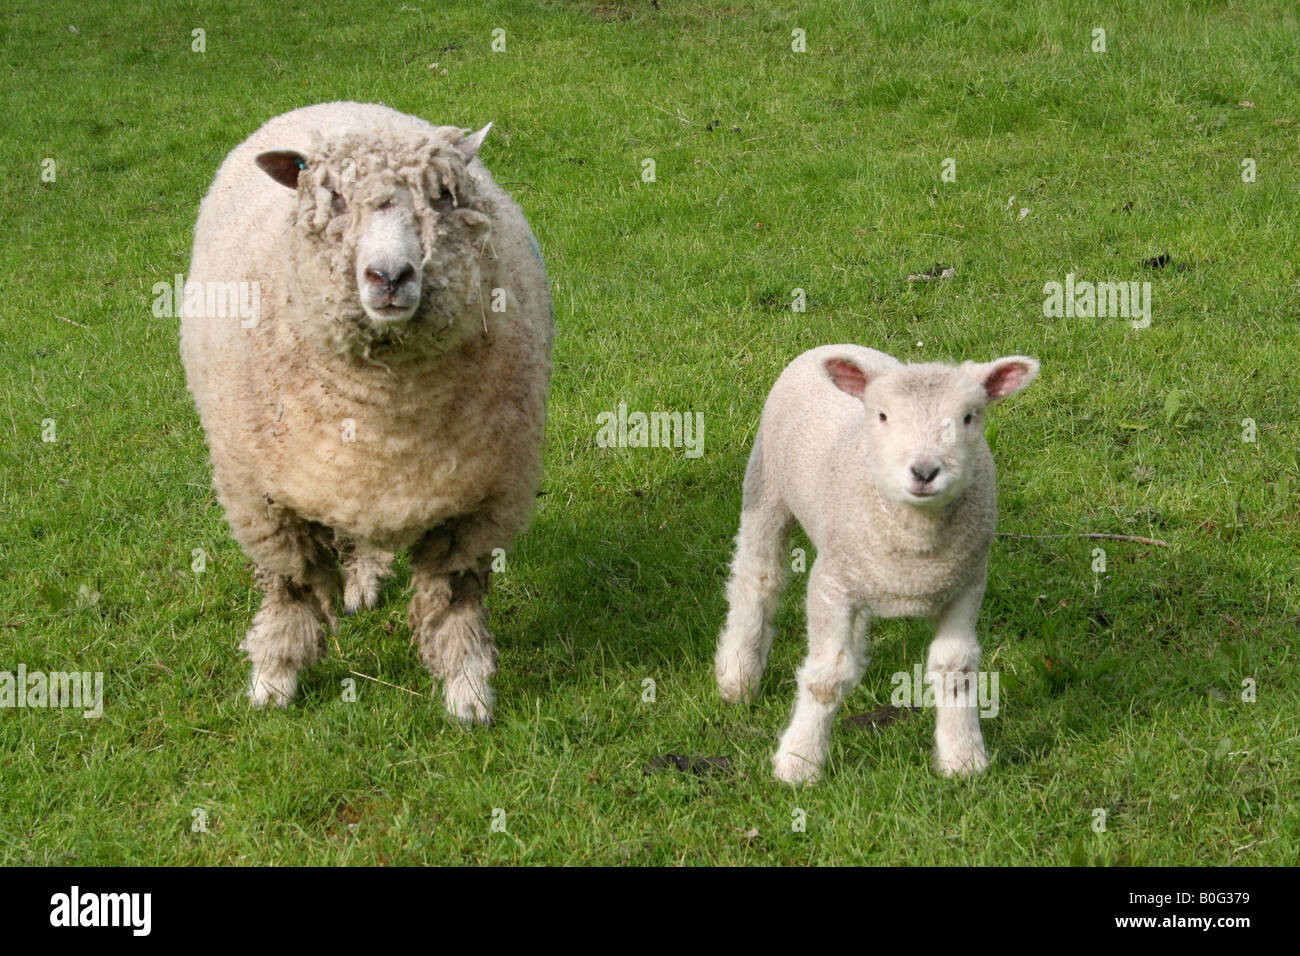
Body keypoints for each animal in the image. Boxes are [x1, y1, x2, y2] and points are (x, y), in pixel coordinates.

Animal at [179, 102, 552, 722]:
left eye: (443, 196)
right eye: (331, 197)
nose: (390, 277)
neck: (386, 412)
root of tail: (338, 106)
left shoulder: (479, 504)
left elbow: (454, 601)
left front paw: (468, 688)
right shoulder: (265, 503)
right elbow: (292, 591)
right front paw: (273, 679)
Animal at [714, 344, 1039, 783]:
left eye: (970, 417)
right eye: (882, 415)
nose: (924, 472)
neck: (916, 545)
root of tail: (836, 344)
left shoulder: (966, 585)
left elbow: (955, 671)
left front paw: (963, 757)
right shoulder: (830, 585)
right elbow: (825, 679)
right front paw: (799, 761)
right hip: (766, 488)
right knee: (759, 577)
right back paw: (739, 674)